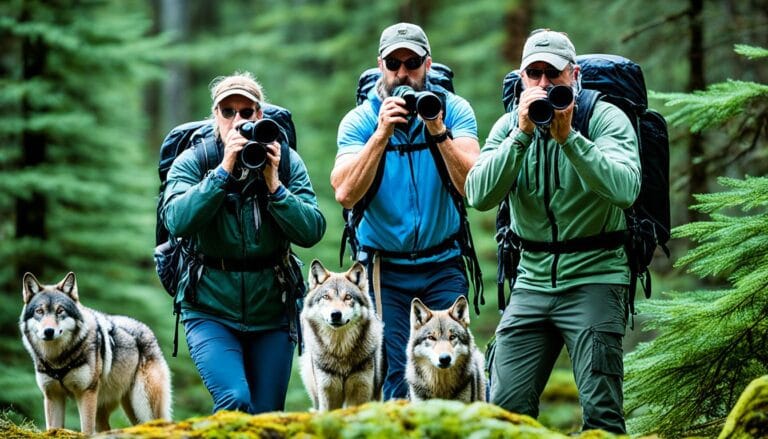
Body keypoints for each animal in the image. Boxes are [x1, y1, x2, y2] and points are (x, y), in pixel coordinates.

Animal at [19, 272, 172, 434]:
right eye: (39, 311)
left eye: (60, 311)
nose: (48, 331)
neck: (58, 359)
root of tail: (146, 328)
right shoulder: (53, 396)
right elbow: (53, 428)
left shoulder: (86, 393)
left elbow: (86, 430)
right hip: (116, 411)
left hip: (143, 407)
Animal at [299, 260, 383, 411]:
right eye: (326, 297)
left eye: (348, 297)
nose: (336, 314)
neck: (340, 350)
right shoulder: (328, 393)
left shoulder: (361, 391)